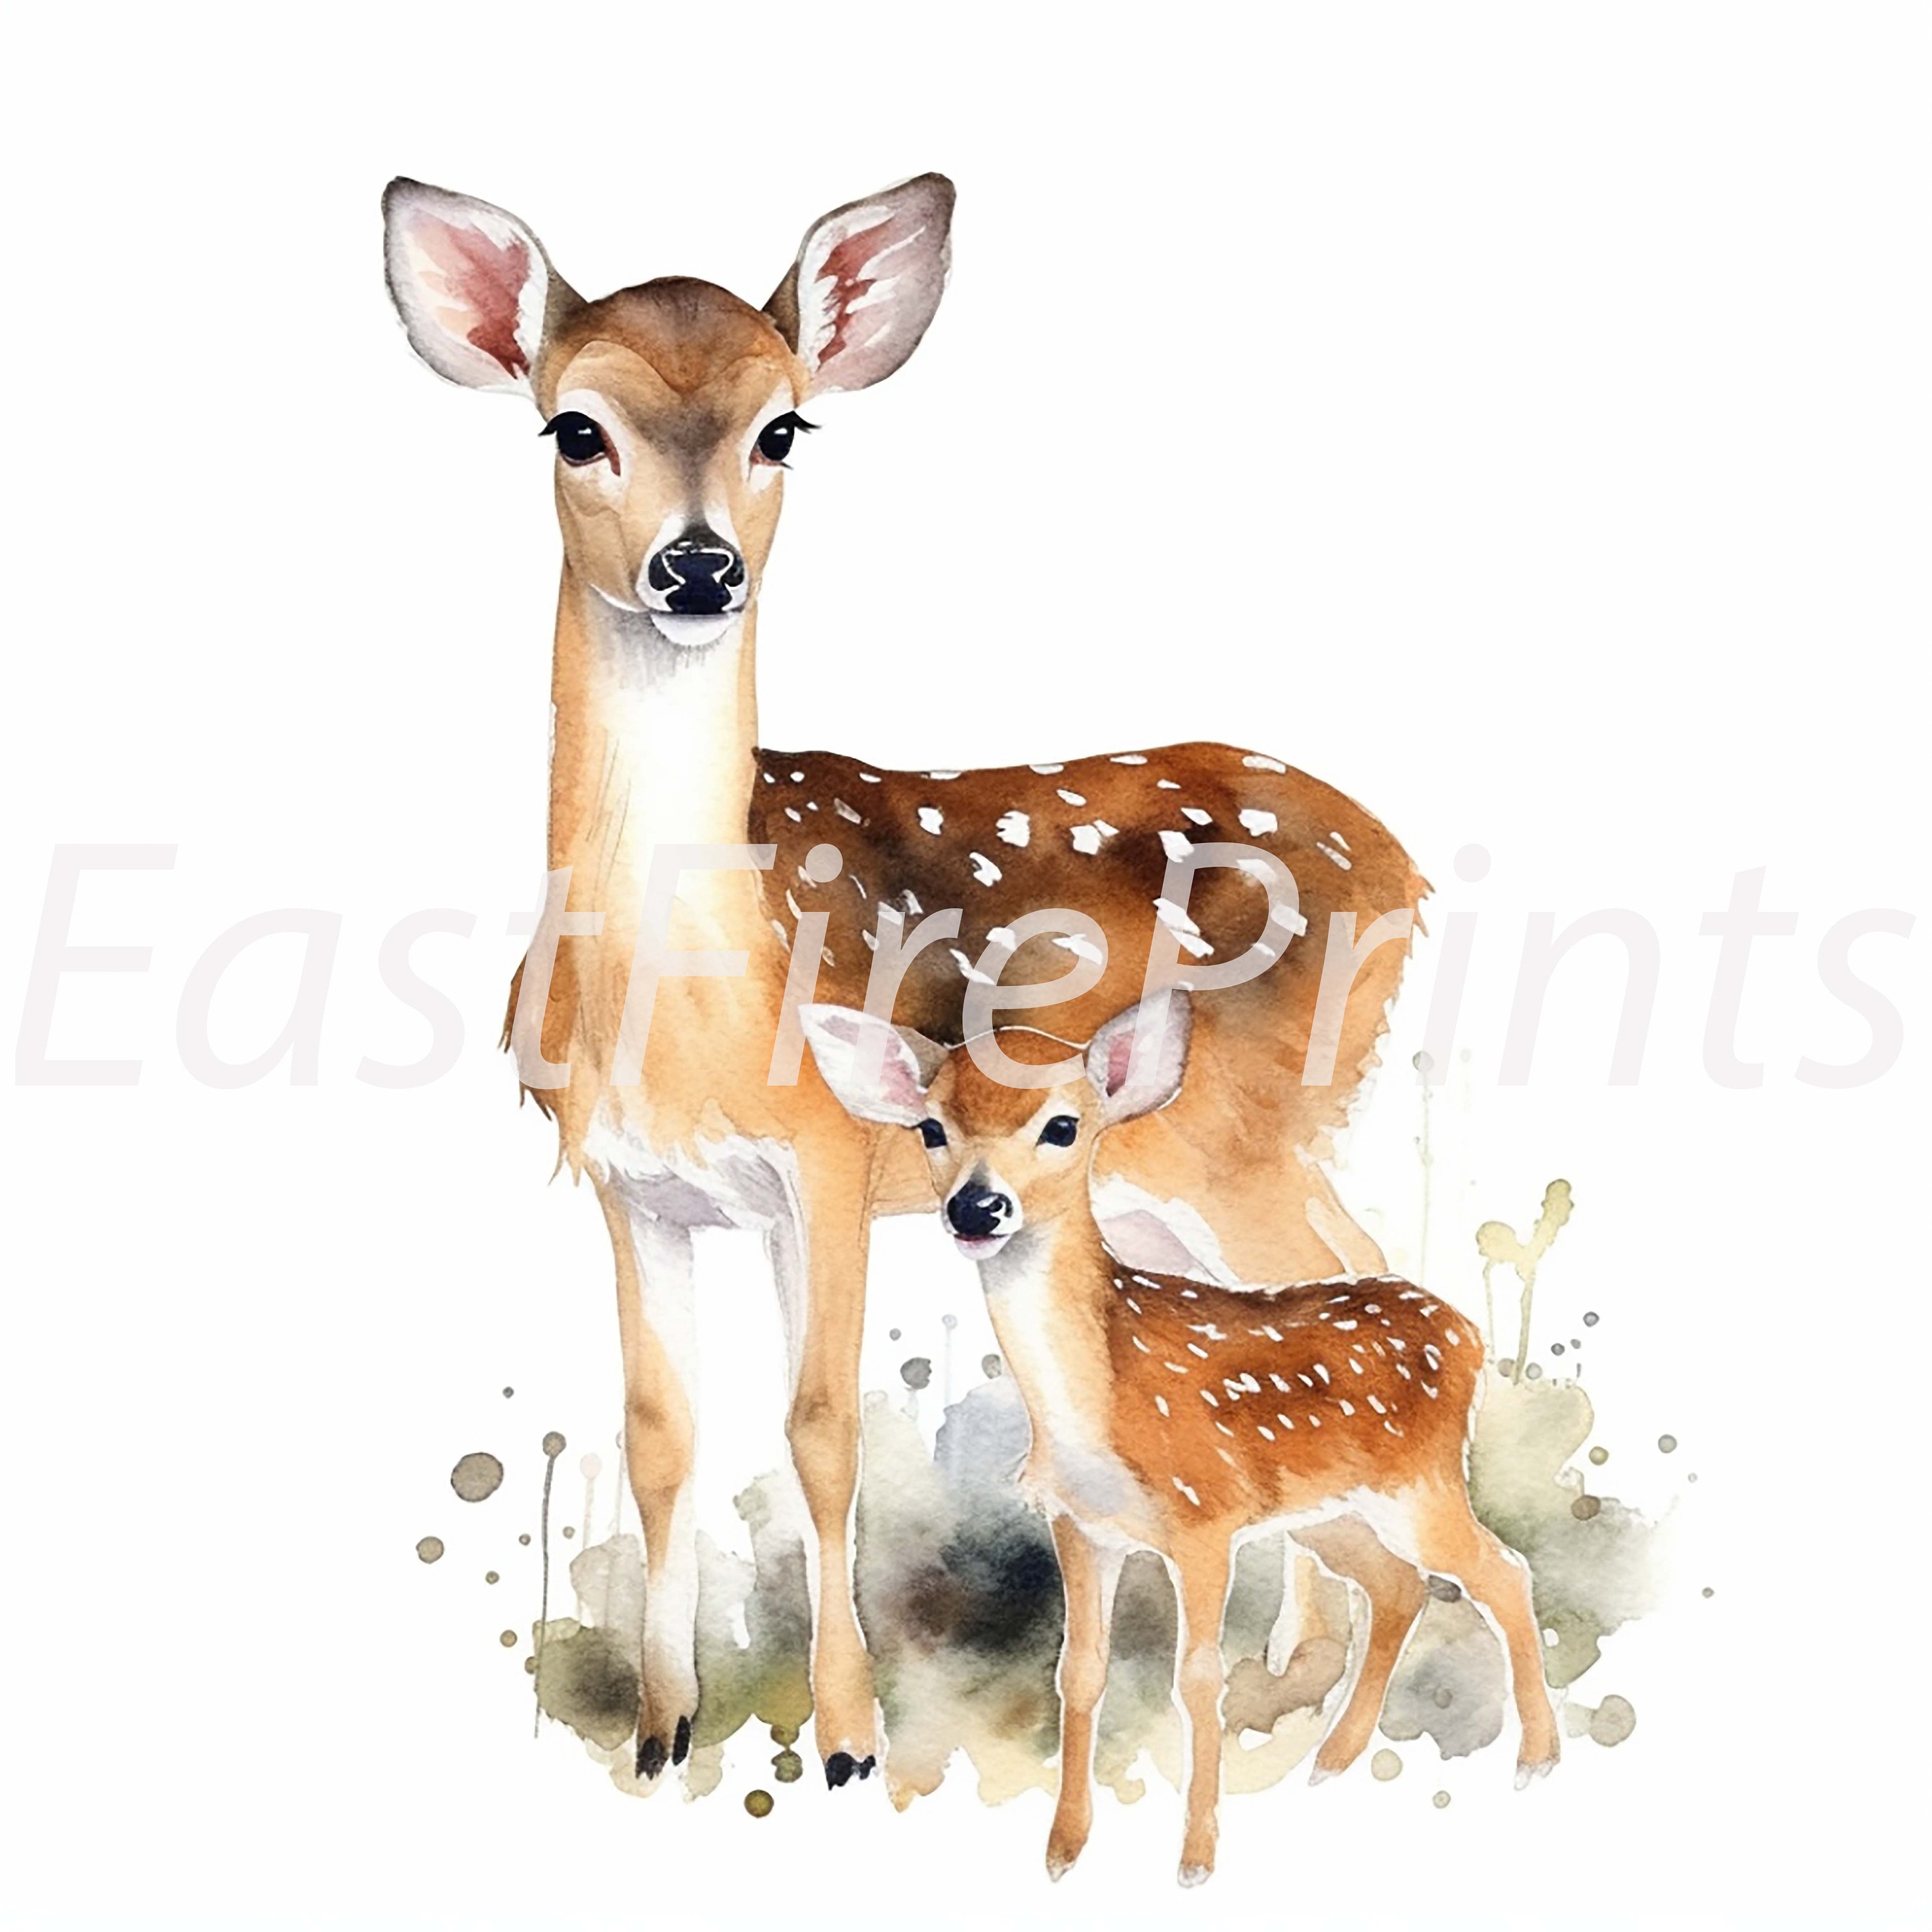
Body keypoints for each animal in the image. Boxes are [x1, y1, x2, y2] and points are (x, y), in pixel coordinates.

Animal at [380, 171, 1427, 1793]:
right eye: (575, 428)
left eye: (782, 428)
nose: (698, 567)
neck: (691, 1004)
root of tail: (1409, 868)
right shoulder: (635, 1185)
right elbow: (660, 1433)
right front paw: (664, 1726)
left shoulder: (822, 1158)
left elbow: (820, 1428)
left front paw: (849, 1737)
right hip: (1168, 1170)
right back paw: (1283, 1673)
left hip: (1254, 1136)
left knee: (1345, 1275)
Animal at [799, 990, 1558, 1884]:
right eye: (930, 1128)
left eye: (1063, 1126)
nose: (976, 1207)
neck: (1097, 1405)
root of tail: (1469, 1334)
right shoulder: (1081, 1525)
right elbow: (1079, 1672)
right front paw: (1063, 1848)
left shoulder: (1205, 1518)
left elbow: (1198, 1682)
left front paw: (1196, 1857)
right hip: (1333, 1512)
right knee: (1399, 1588)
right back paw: (1333, 1759)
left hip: (1420, 1485)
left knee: (1502, 1570)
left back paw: (1537, 1758)